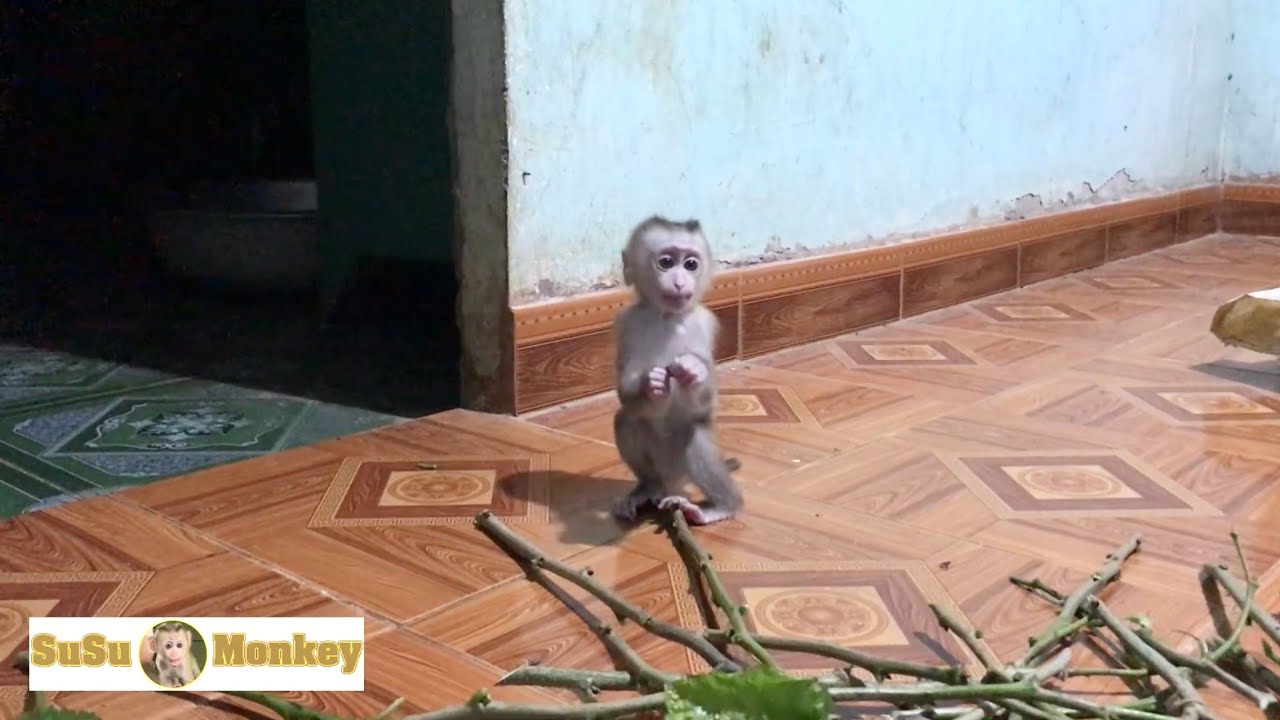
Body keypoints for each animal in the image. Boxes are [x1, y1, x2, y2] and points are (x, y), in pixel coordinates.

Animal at [610, 215, 743, 526]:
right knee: (627, 420)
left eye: (691, 264)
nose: (681, 282)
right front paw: (652, 385)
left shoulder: (705, 323)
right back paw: (647, 488)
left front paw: (694, 371)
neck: (667, 316)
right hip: (660, 467)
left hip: (680, 466)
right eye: (667, 262)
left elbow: (706, 403)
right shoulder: (626, 322)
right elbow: (626, 394)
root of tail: (672, 481)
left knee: (693, 433)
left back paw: (721, 506)